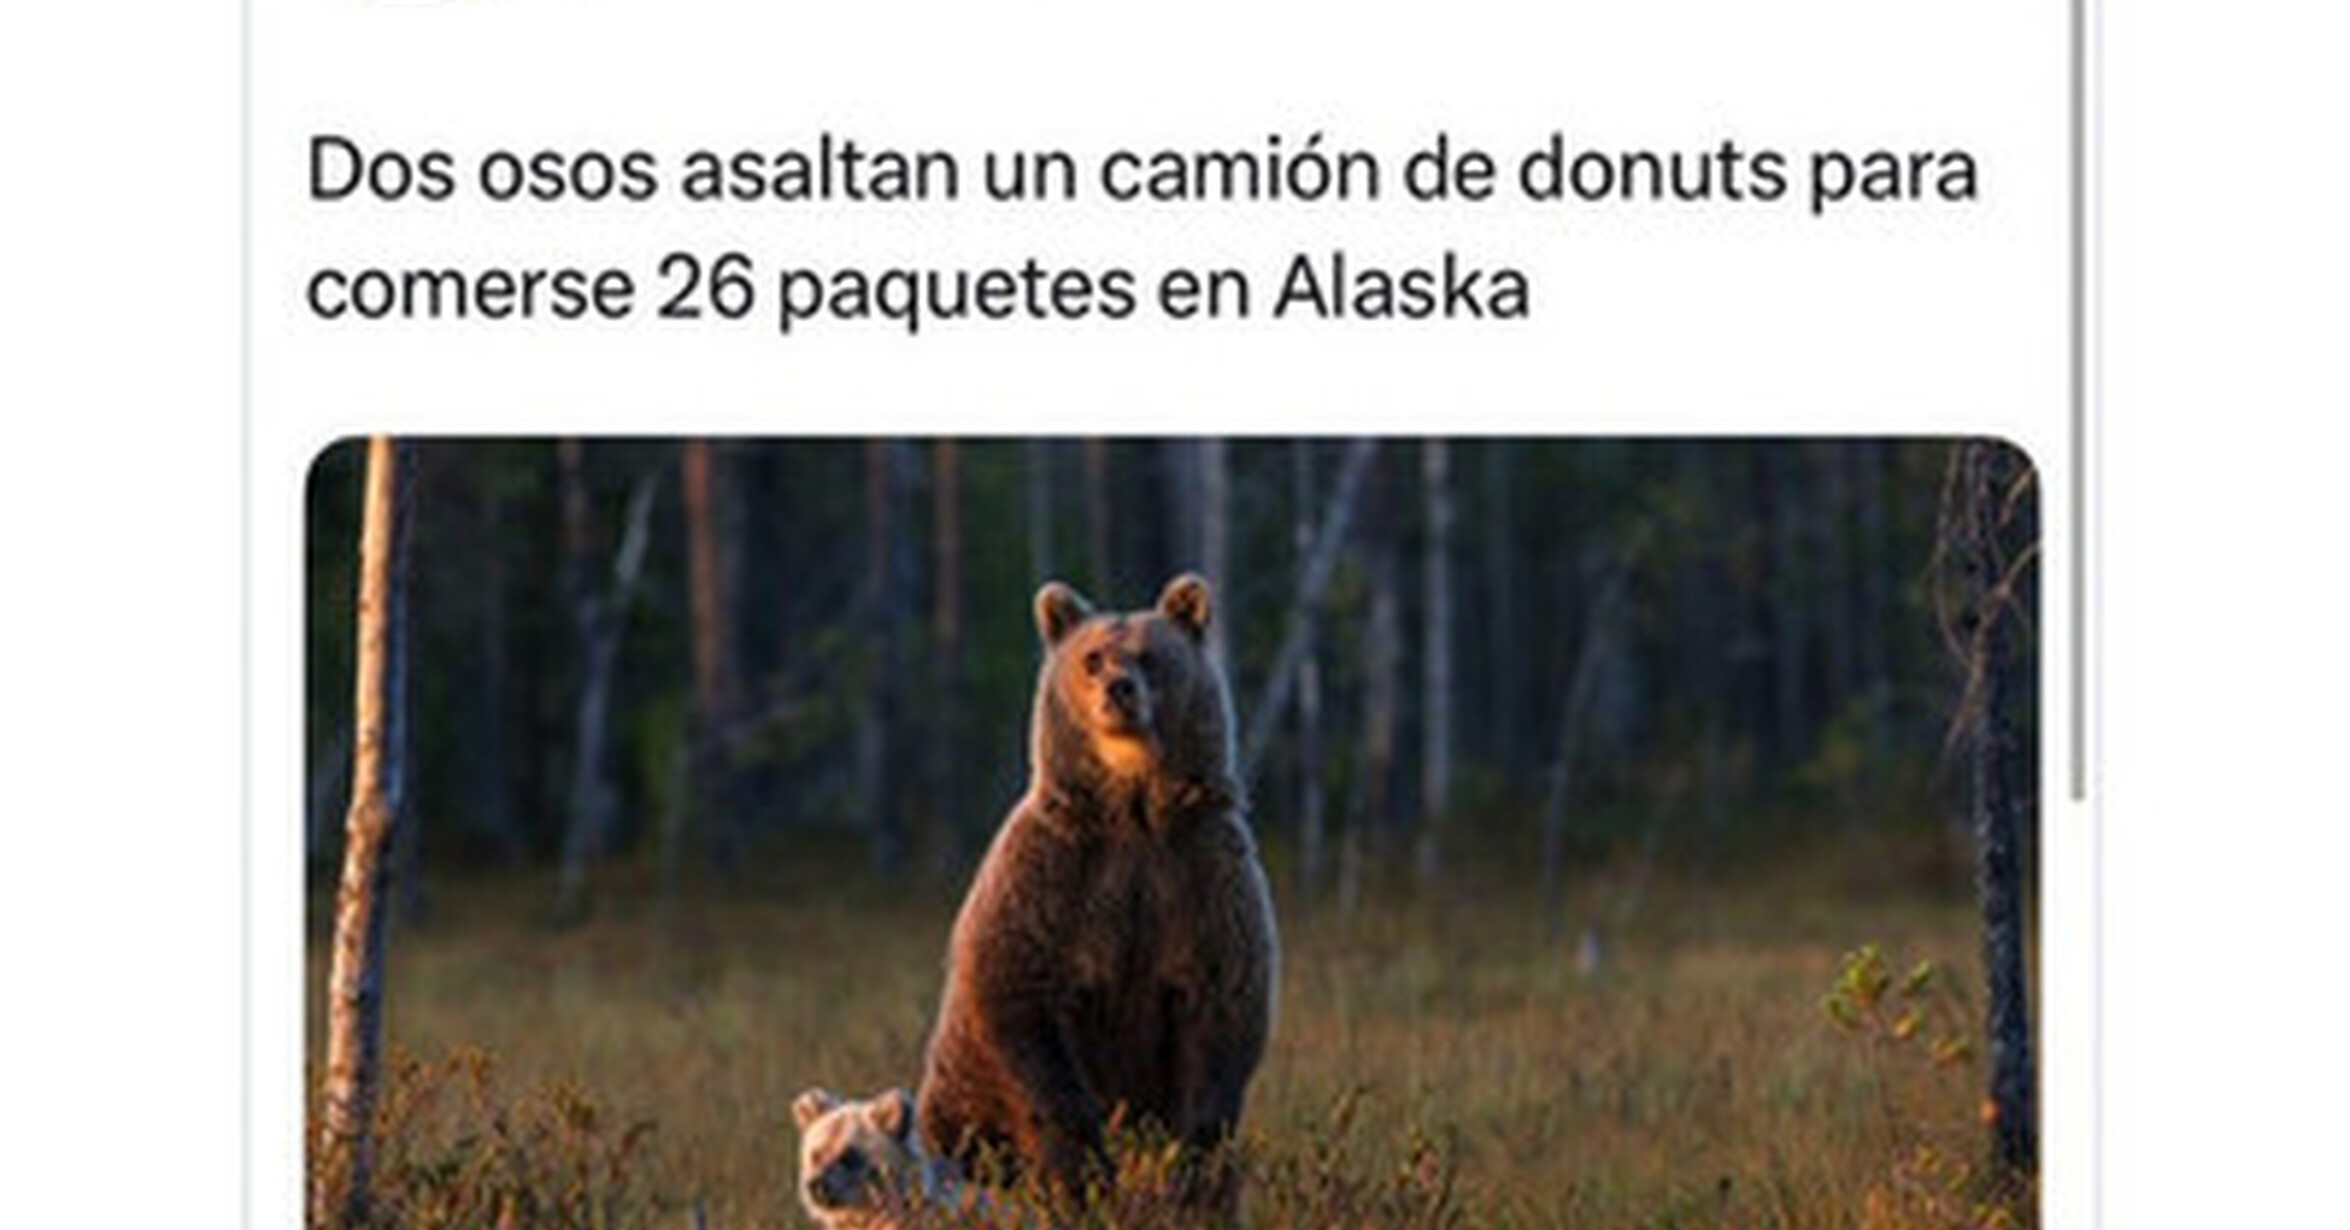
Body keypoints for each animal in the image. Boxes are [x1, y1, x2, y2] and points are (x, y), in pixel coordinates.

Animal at [914, 573, 1279, 1213]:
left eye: (1150, 656)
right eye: (1091, 658)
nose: (1118, 688)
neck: (1132, 809)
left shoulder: (1200, 876)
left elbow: (1223, 1004)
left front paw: (1187, 1166)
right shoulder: (1056, 875)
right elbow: (1018, 992)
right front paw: (1084, 1165)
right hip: (958, 1102)